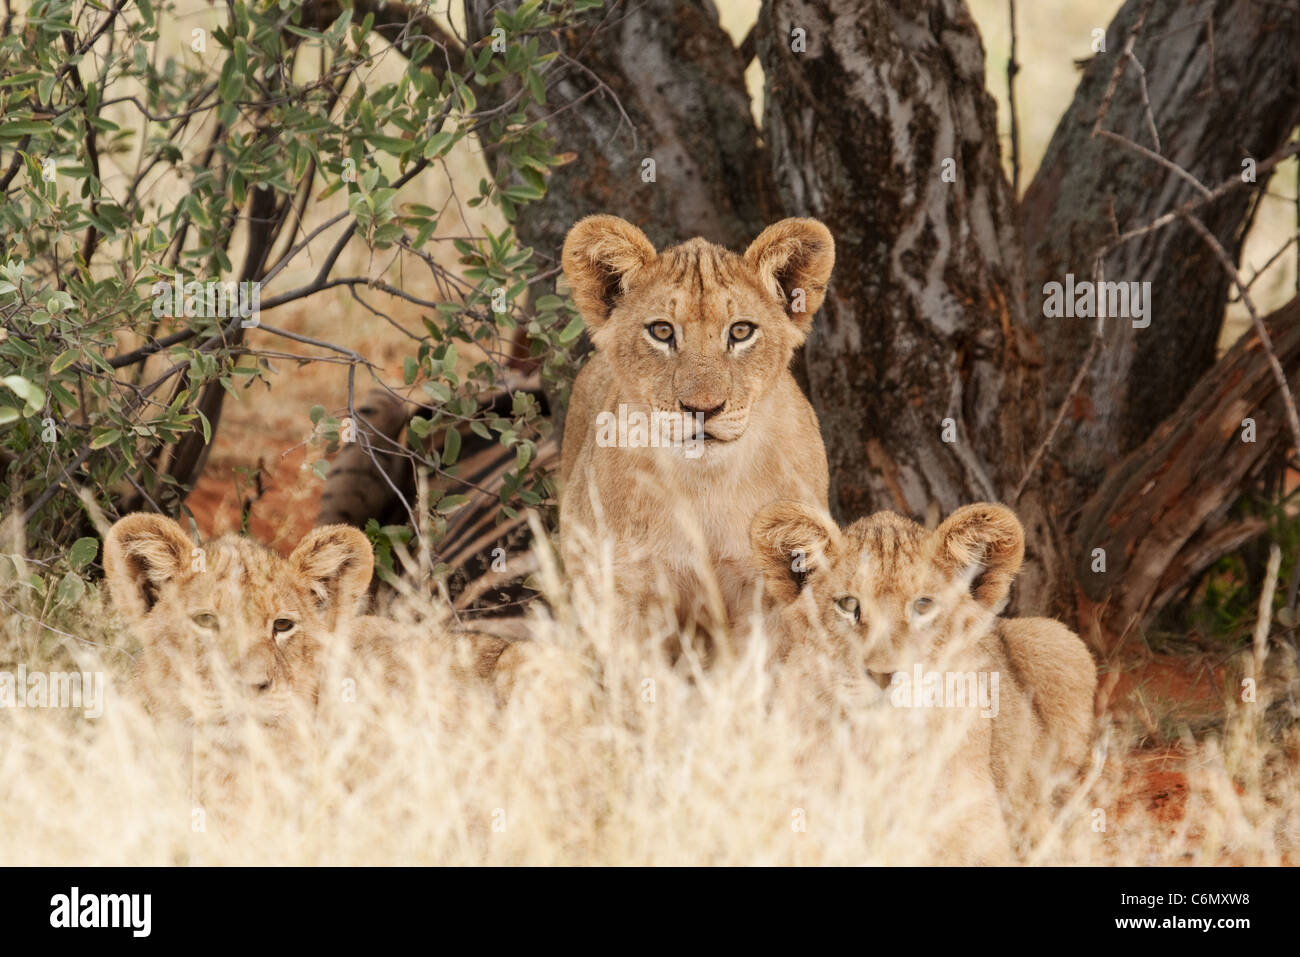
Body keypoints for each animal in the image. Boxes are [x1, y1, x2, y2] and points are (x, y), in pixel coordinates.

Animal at [558, 215, 835, 649]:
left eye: (740, 332)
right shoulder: (625, 592)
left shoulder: (767, 592)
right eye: (661, 331)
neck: (704, 485)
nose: (703, 409)